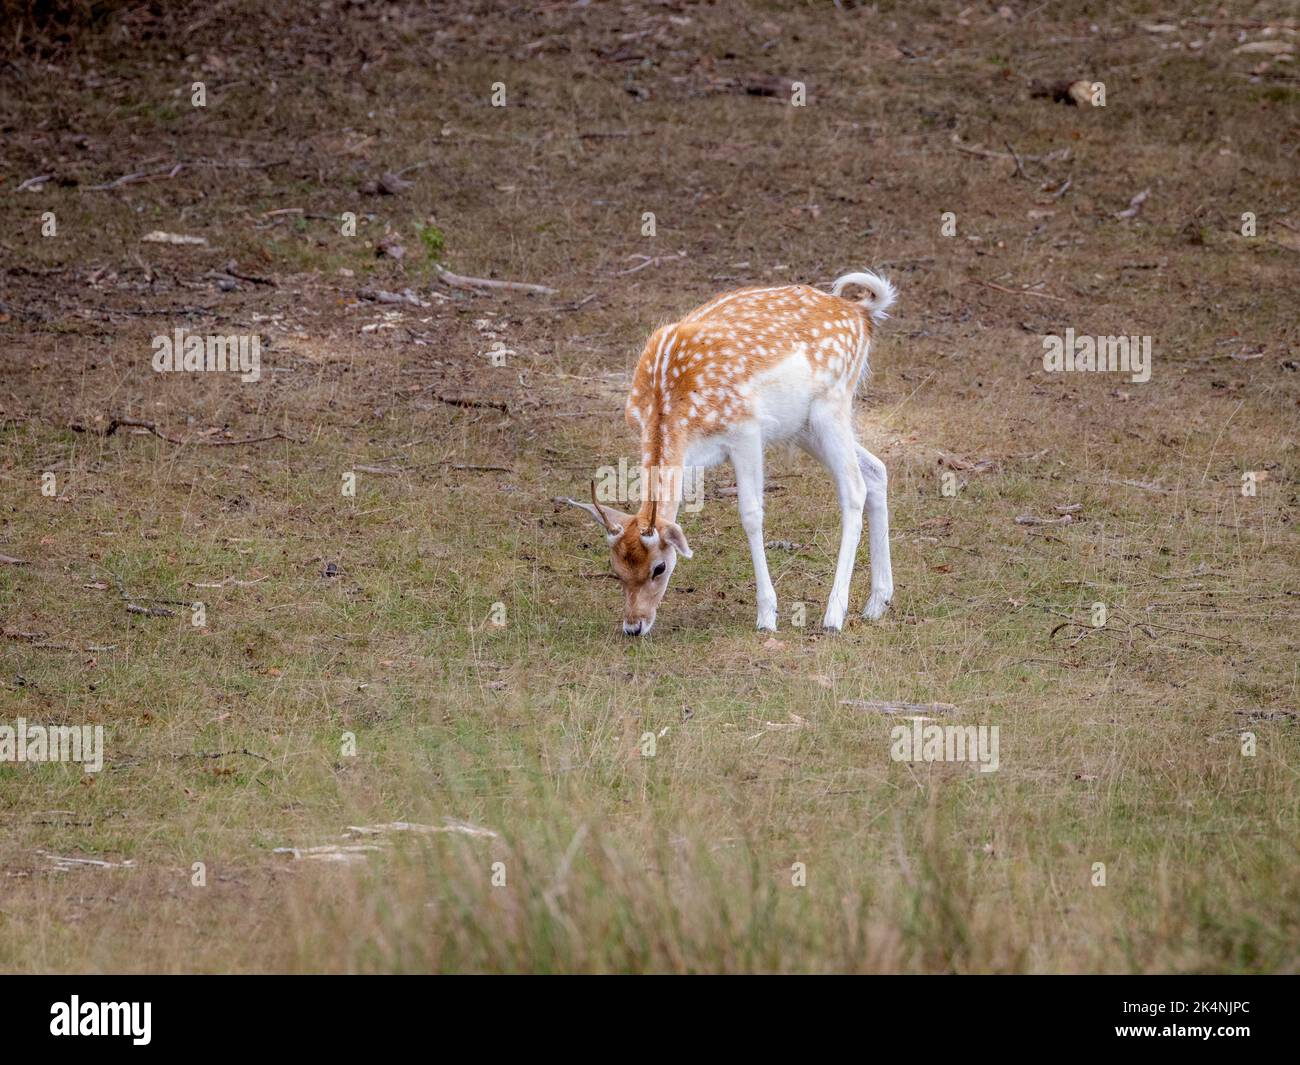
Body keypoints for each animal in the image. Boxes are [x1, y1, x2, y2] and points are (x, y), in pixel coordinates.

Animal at [560, 270, 896, 636]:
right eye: (616, 569)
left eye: (659, 568)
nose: (634, 626)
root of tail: (862, 313)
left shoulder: (745, 431)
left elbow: (750, 514)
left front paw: (767, 616)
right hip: (802, 425)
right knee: (876, 470)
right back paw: (877, 603)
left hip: (831, 405)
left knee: (854, 489)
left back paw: (834, 615)